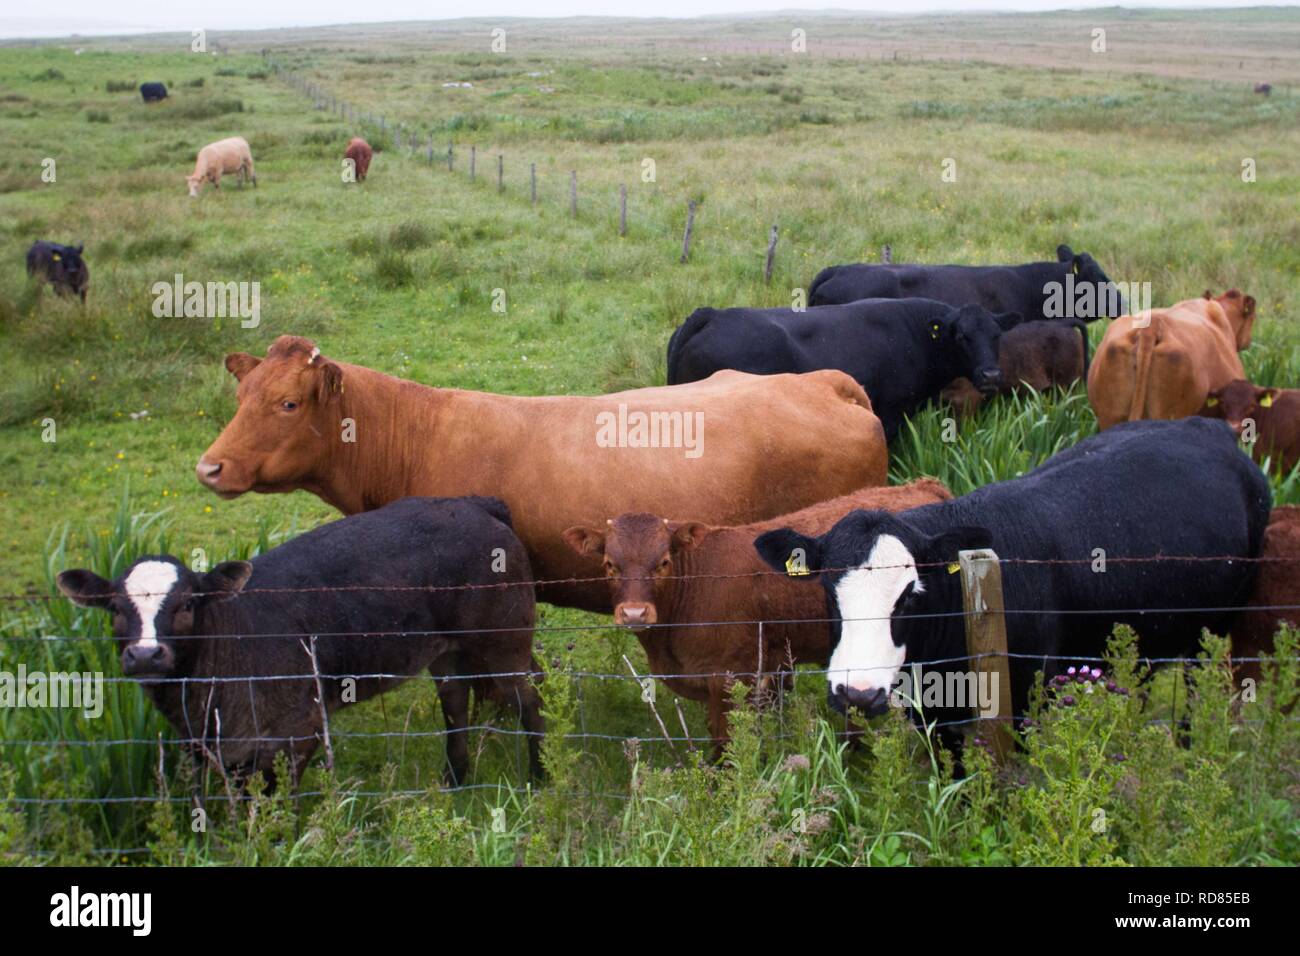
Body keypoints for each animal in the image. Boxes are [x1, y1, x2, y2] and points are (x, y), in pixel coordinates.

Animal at [56, 496, 542, 788]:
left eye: (188, 604)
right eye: (115, 609)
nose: (145, 655)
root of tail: (474, 503)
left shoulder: (299, 731)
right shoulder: (225, 752)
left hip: (503, 640)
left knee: (530, 699)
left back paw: (539, 777)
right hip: (448, 648)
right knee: (455, 703)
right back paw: (455, 780)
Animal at [561, 479, 952, 756]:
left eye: (663, 562)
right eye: (609, 565)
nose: (634, 612)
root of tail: (923, 485)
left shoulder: (732, 677)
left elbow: (726, 745)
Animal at [665, 298, 1022, 442]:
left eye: (996, 335)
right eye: (962, 336)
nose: (991, 375)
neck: (916, 336)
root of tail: (713, 314)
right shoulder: (890, 414)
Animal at [753, 418, 1270, 748]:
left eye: (910, 597)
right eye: (827, 591)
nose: (857, 693)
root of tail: (1208, 427)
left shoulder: (1024, 699)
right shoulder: (934, 711)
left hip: (1214, 627)